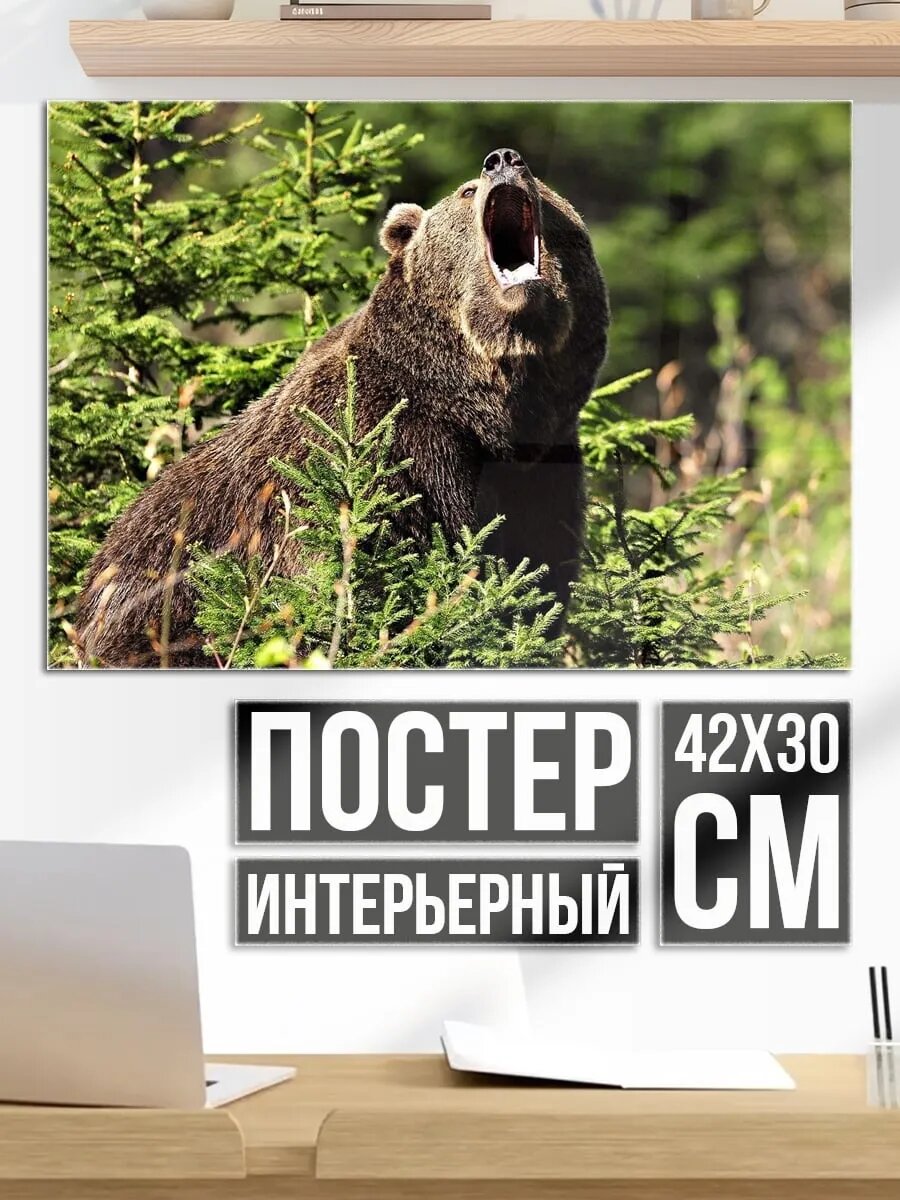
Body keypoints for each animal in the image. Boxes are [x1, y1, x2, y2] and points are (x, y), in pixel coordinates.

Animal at [75, 146, 610, 668]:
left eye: (543, 187)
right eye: (466, 191)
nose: (502, 159)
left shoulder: (543, 466)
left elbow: (537, 574)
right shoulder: (376, 448)